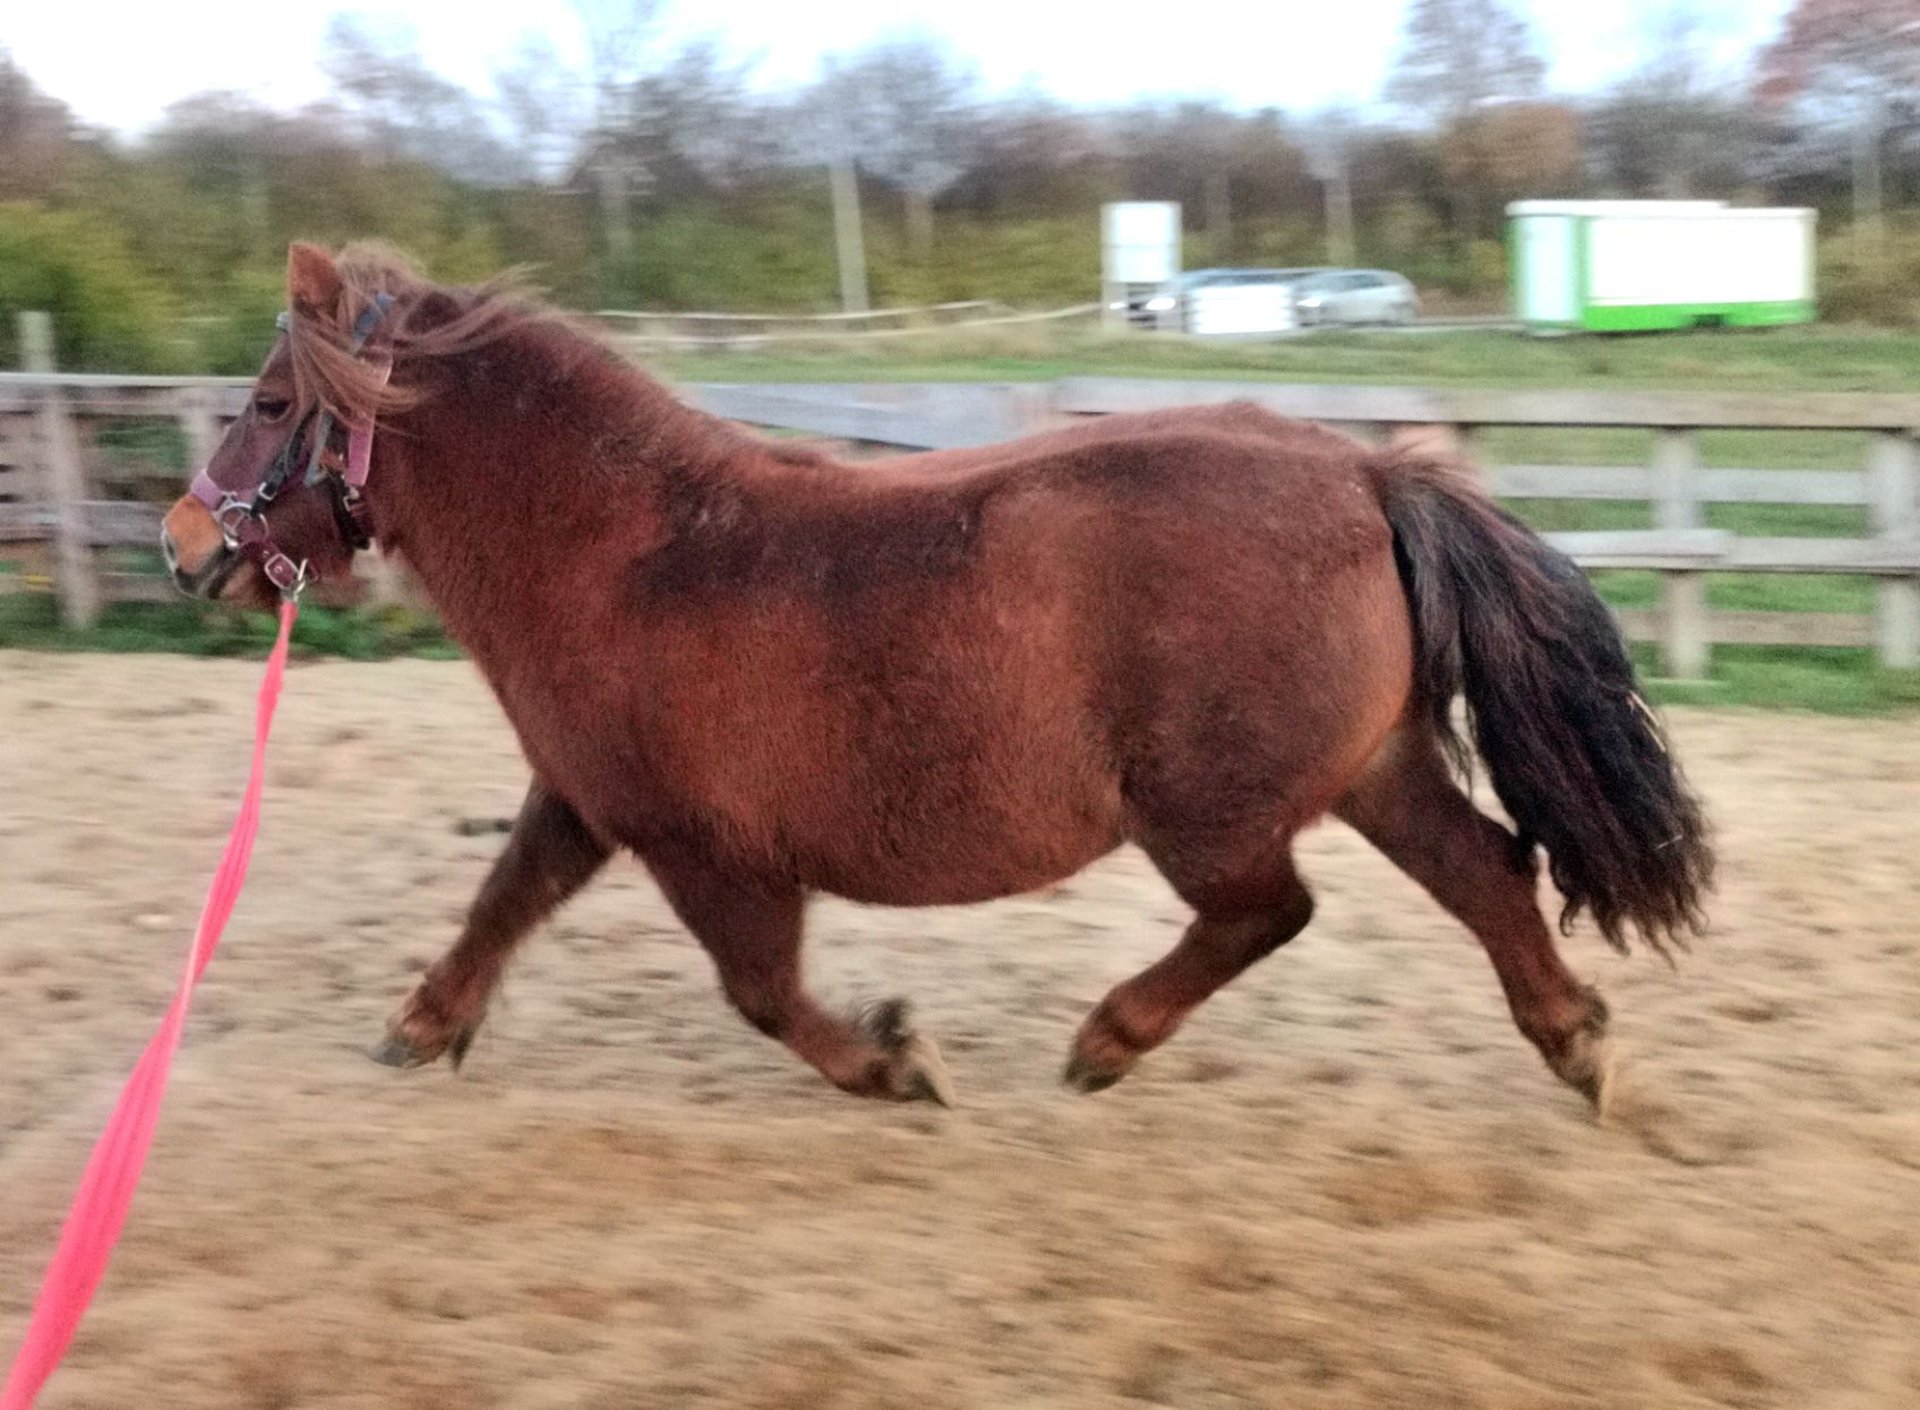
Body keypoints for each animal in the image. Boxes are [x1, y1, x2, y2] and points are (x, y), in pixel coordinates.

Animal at [161, 242, 1712, 1111]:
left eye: (273, 403)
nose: (184, 542)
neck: (627, 549)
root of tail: (1368, 472)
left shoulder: (705, 849)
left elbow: (763, 994)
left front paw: (895, 1064)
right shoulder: (590, 802)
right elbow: (501, 903)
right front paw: (420, 1026)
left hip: (1212, 812)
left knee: (1270, 911)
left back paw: (1109, 1039)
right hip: (1370, 770)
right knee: (1488, 875)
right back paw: (1578, 1048)